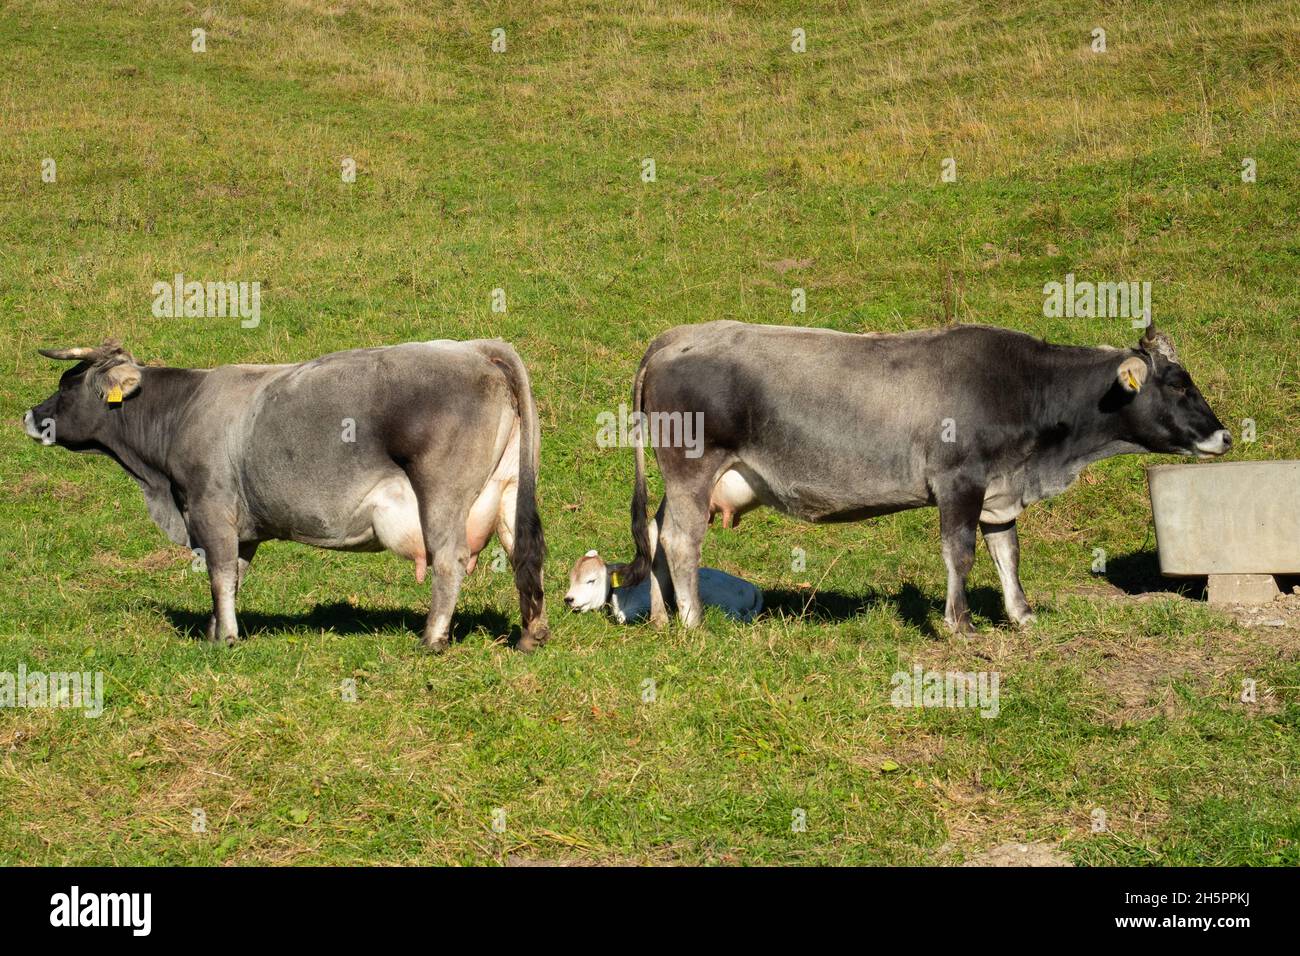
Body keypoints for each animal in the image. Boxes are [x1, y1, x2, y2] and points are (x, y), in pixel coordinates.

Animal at [22, 338, 549, 652]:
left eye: (68, 386)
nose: (30, 415)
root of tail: (474, 348)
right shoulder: (242, 528)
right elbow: (232, 577)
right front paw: (215, 631)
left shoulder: (210, 507)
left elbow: (218, 574)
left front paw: (225, 640)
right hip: (506, 491)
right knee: (523, 552)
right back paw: (531, 635)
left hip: (441, 494)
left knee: (448, 560)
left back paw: (432, 639)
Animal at [622, 320, 1232, 633]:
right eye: (1179, 385)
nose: (1224, 436)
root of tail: (677, 336)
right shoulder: (960, 481)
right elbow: (960, 553)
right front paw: (960, 624)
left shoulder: (998, 490)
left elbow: (1007, 552)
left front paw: (1022, 615)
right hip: (692, 466)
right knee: (680, 539)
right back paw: (693, 622)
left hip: (686, 478)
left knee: (655, 533)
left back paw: (661, 617)